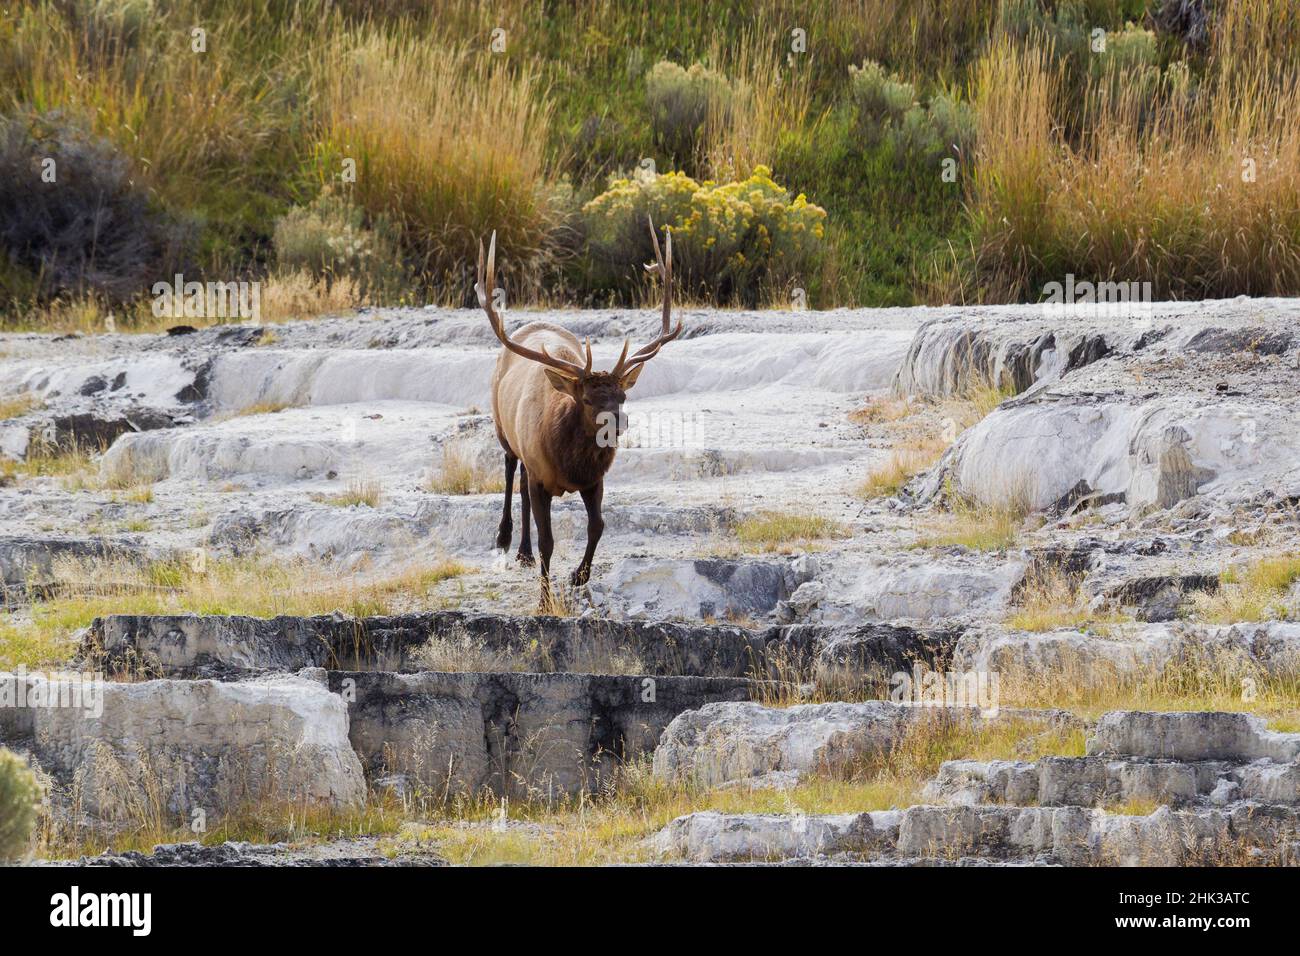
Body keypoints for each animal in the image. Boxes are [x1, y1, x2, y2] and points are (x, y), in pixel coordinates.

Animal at [475, 218, 681, 609]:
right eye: (586, 399)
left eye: (622, 396)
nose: (616, 423)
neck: (567, 465)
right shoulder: (542, 476)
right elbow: (548, 541)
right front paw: (544, 600)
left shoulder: (594, 480)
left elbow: (597, 526)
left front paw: (578, 576)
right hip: (502, 428)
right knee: (510, 472)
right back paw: (504, 540)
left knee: (521, 483)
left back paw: (523, 552)